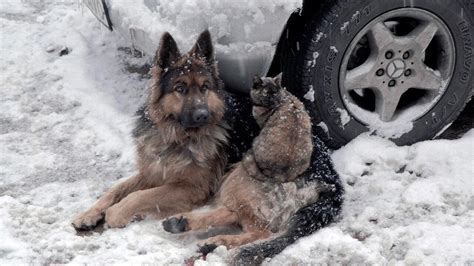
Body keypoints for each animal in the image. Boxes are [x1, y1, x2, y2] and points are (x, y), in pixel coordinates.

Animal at [71, 29, 231, 229]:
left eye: (205, 87)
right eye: (180, 88)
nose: (202, 115)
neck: (174, 136)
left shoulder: (192, 187)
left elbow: (141, 195)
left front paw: (117, 212)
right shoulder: (152, 172)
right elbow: (116, 188)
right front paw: (89, 213)